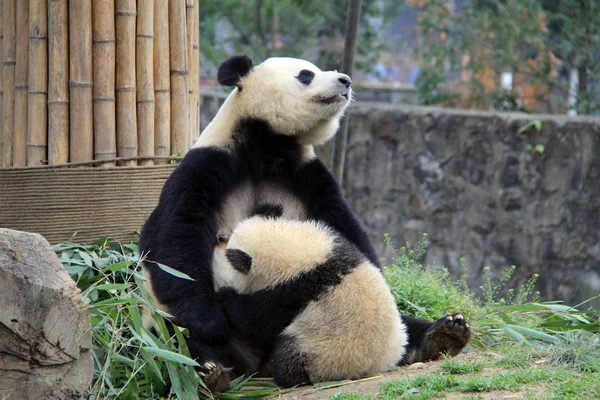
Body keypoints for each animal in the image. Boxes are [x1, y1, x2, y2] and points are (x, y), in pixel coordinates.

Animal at [138, 54, 472, 392]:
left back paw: (443, 334)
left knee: (403, 320)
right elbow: (176, 237)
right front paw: (210, 321)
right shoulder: (206, 165)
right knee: (169, 339)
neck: (269, 144)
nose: (345, 80)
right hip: (162, 321)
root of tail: (258, 367)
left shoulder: (309, 177)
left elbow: (345, 230)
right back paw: (209, 370)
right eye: (306, 75)